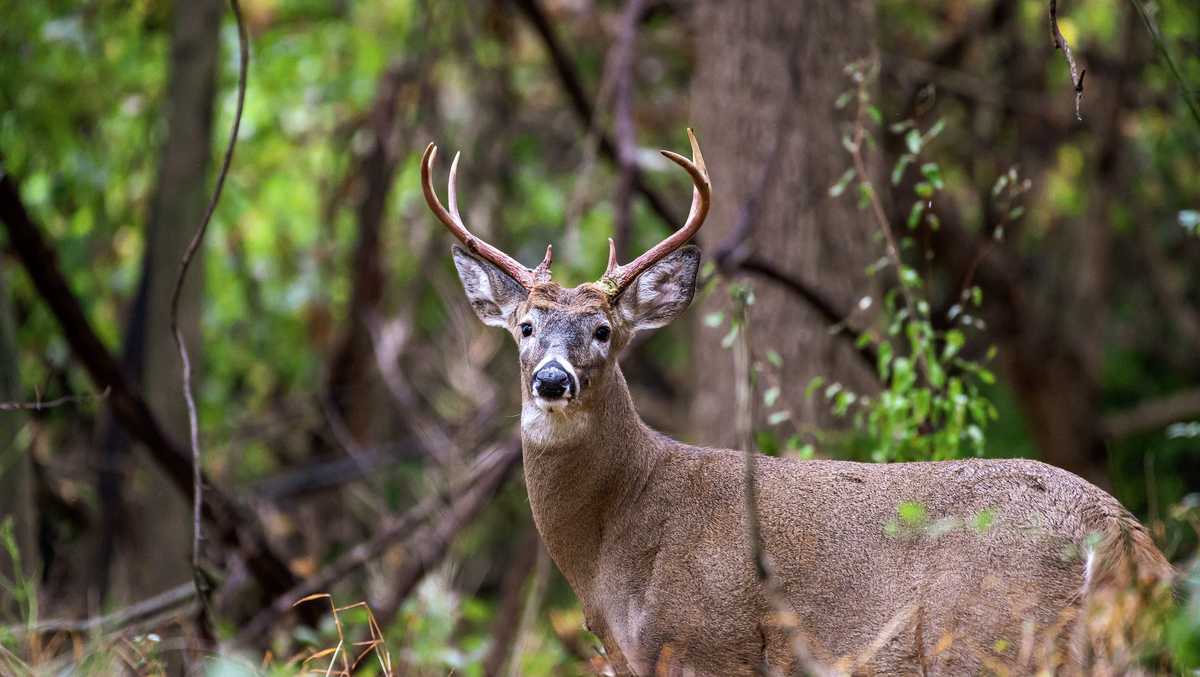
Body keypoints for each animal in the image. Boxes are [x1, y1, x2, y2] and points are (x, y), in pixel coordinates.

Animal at [420, 129, 1173, 676]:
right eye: (525, 327)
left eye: (603, 331)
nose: (552, 380)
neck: (613, 543)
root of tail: (1120, 536)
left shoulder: (703, 642)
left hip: (993, 637)